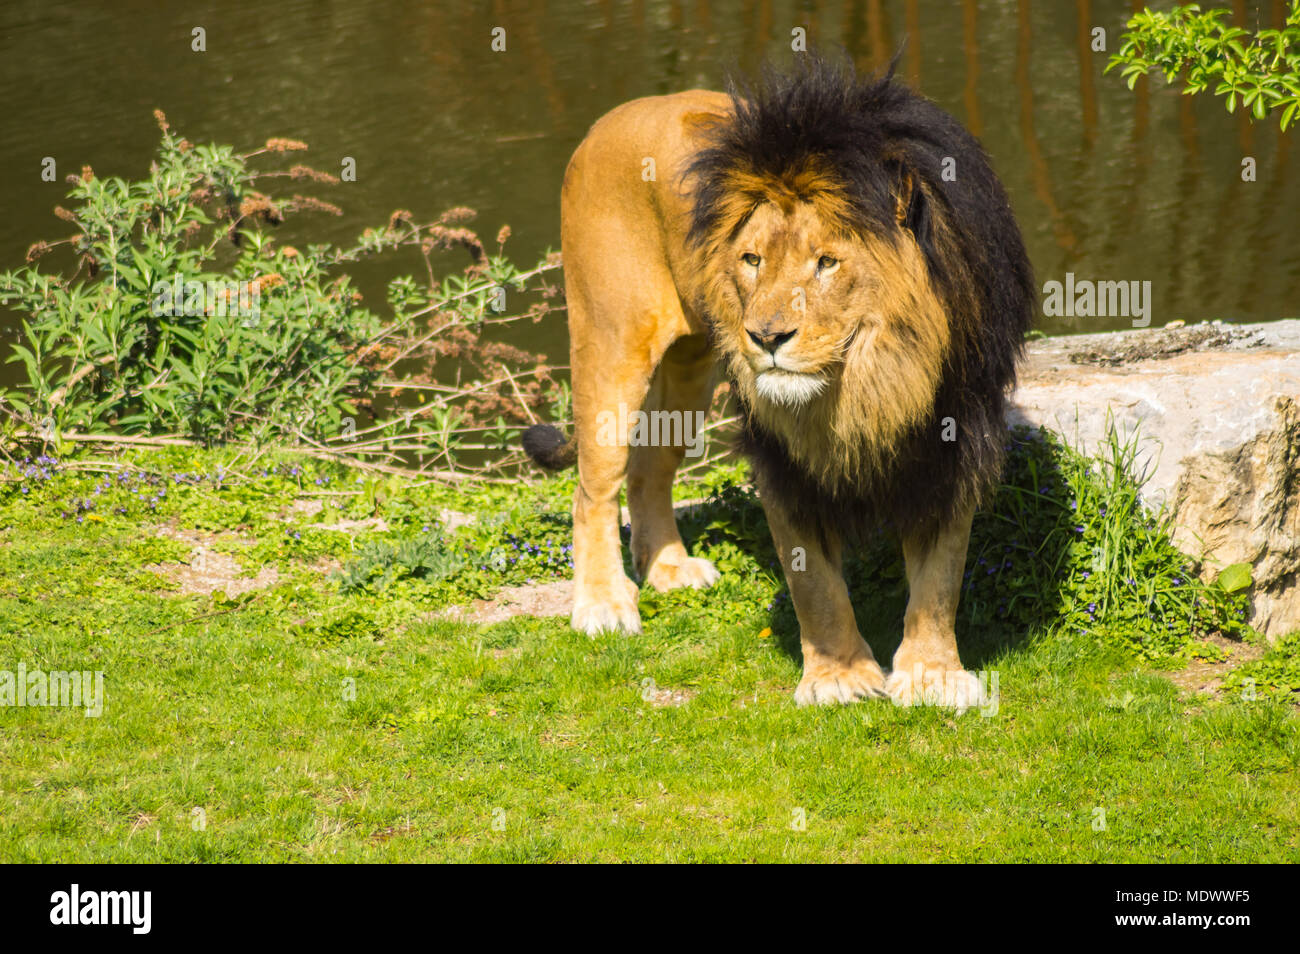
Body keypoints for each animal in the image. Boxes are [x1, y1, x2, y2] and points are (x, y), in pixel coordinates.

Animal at [523, 54, 1035, 709]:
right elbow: (813, 578)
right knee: (594, 485)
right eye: (752, 260)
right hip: (612, 340)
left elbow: (941, 574)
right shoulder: (781, 457)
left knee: (649, 468)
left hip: (688, 368)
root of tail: (608, 120)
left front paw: (932, 675)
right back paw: (604, 606)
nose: (765, 338)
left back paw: (669, 570)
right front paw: (838, 677)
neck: (877, 379)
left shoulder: (958, 432)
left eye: (826, 262)